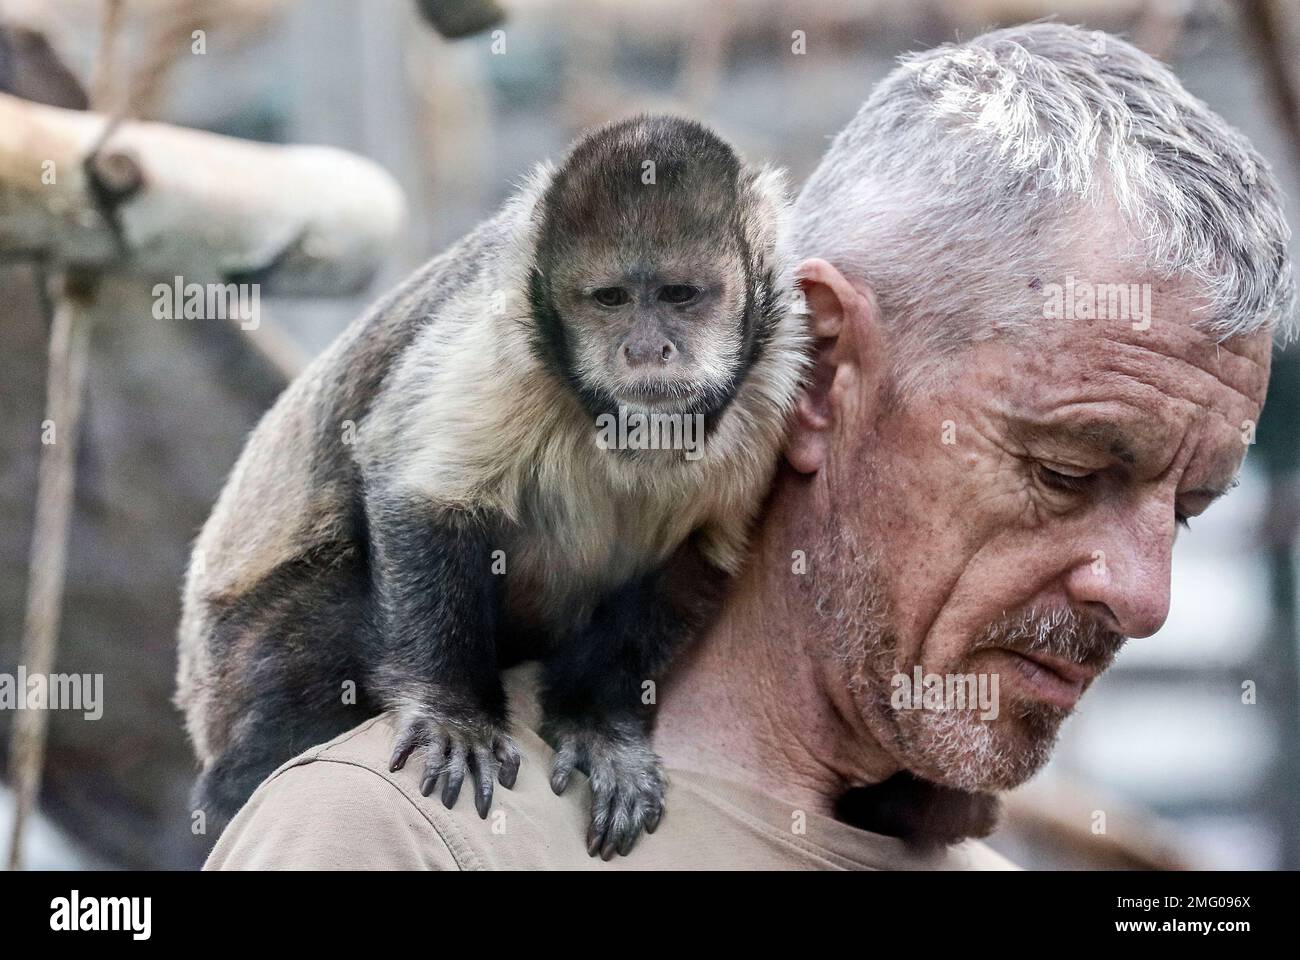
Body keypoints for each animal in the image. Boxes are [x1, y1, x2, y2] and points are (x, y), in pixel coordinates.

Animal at [176, 114, 808, 857]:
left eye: (680, 295)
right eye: (612, 299)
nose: (646, 349)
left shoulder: (769, 391)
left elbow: (697, 555)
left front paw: (600, 726)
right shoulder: (504, 341)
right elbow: (421, 496)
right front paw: (455, 714)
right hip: (238, 658)